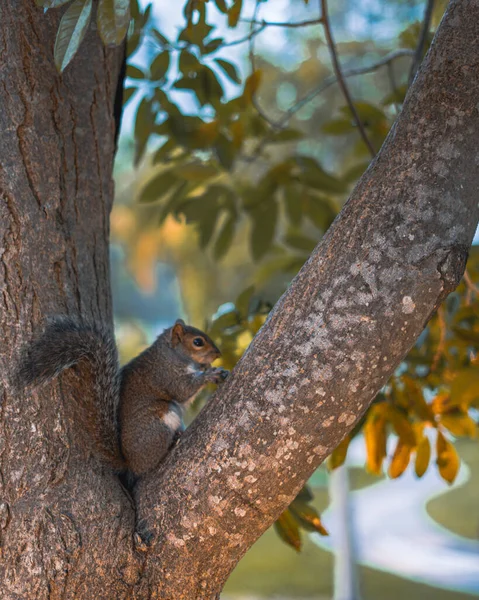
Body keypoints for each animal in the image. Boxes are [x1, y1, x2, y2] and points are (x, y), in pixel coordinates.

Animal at [17, 316, 229, 476]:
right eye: (197, 342)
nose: (218, 354)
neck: (171, 353)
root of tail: (129, 463)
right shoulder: (165, 374)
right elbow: (183, 390)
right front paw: (210, 374)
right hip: (161, 419)